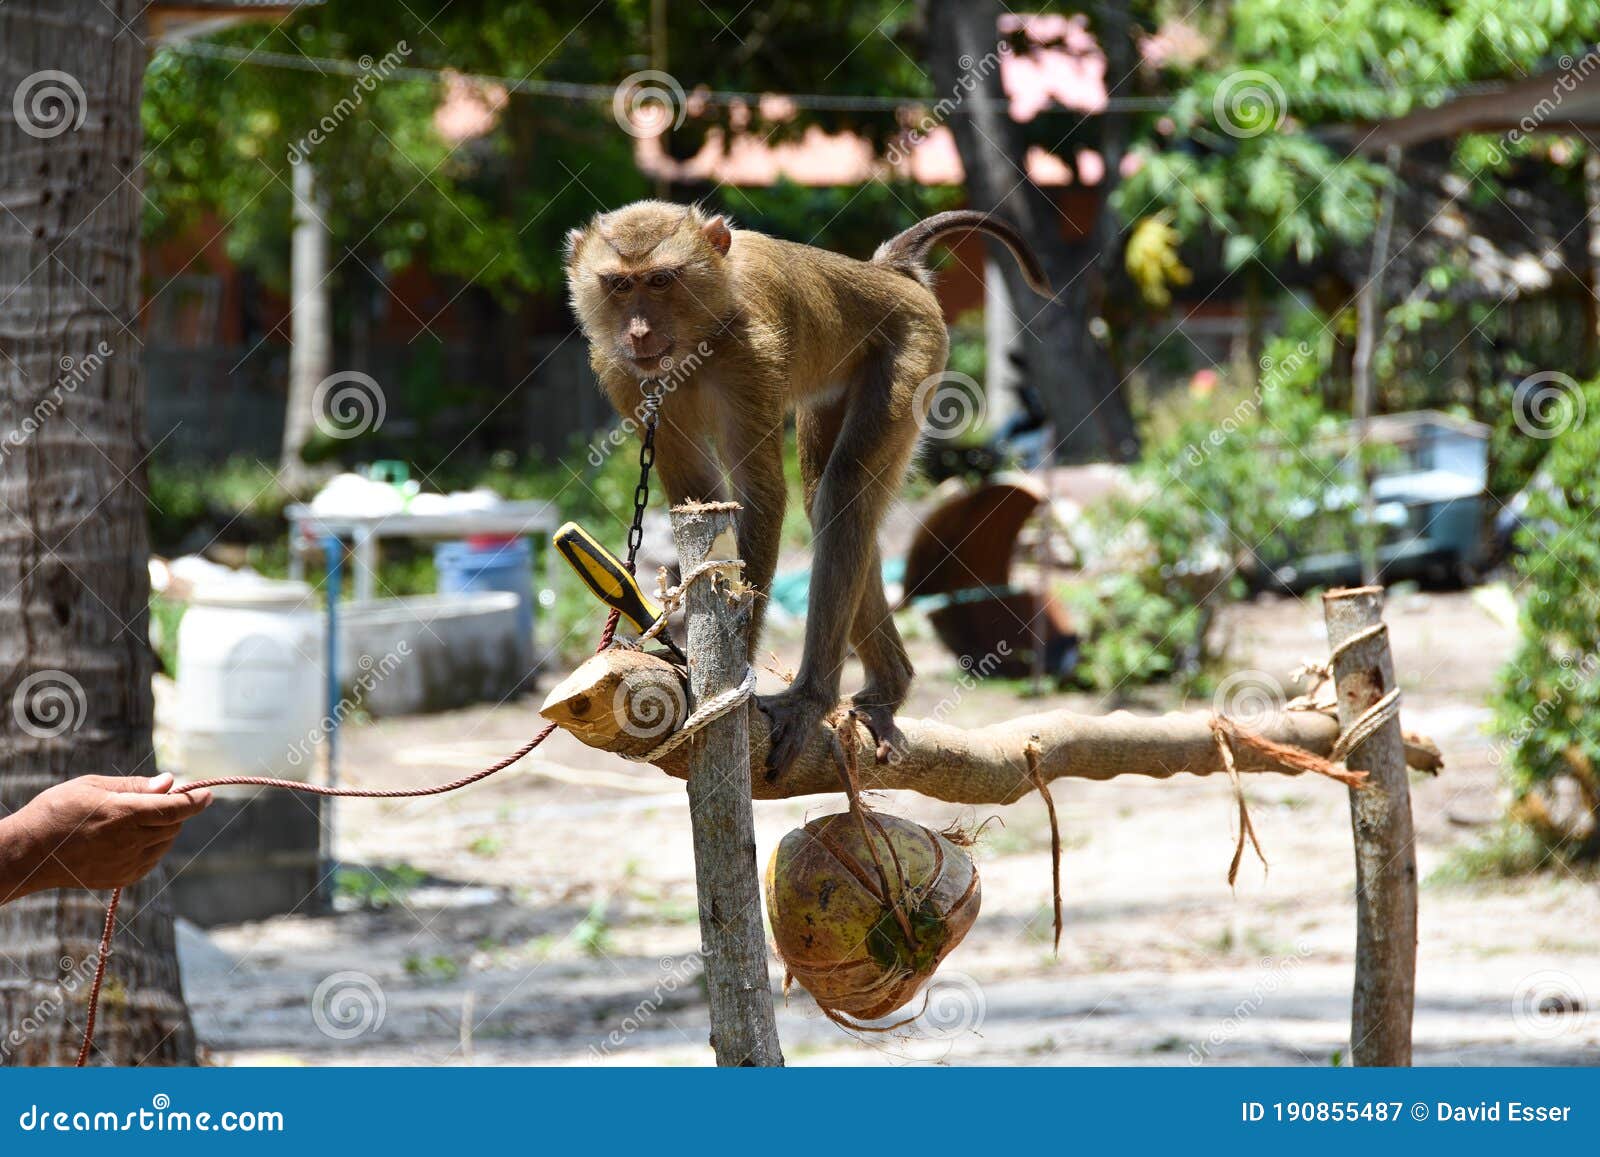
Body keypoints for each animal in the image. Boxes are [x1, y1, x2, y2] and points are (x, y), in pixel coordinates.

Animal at [565, 202, 1050, 776]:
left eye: (661, 280)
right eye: (619, 285)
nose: (638, 331)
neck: (704, 330)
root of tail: (887, 272)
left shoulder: (751, 359)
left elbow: (760, 496)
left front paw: (734, 679)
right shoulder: (622, 372)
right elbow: (698, 494)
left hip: (914, 346)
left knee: (843, 493)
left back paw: (817, 699)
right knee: (829, 496)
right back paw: (889, 686)